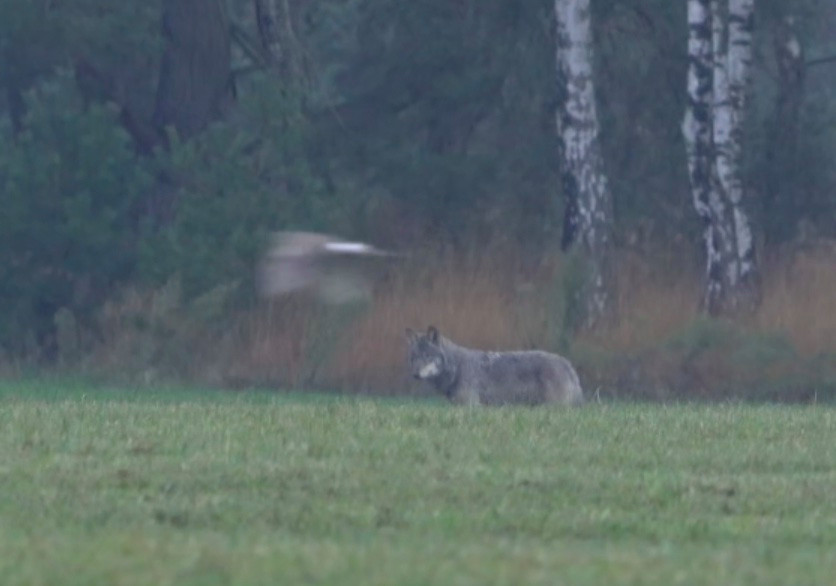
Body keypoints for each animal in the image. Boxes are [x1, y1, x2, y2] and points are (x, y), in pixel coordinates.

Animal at [405, 326, 583, 406]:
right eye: (414, 357)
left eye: (427, 356)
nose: (415, 374)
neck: (456, 369)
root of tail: (567, 364)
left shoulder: (471, 407)